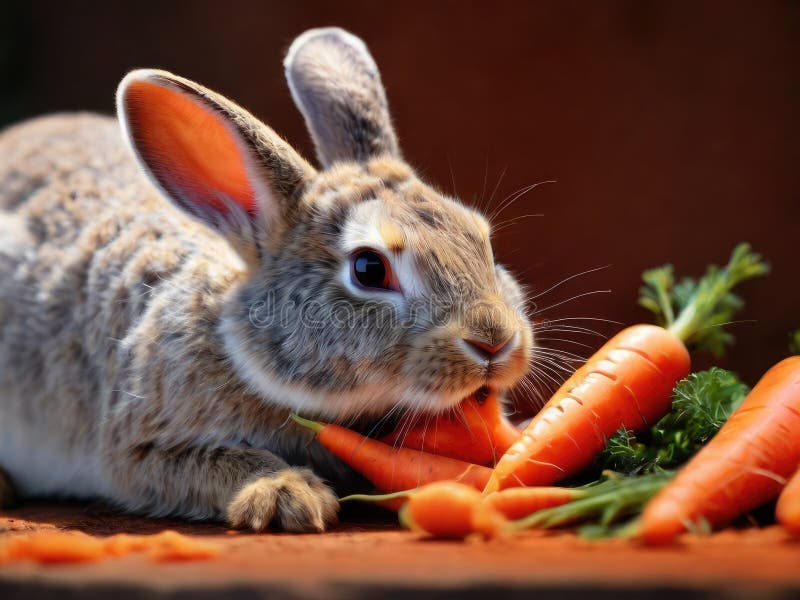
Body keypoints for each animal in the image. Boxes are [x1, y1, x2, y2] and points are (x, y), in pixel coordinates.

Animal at [0, 27, 533, 532]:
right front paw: (288, 496)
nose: (494, 340)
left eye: (482, 239)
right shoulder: (137, 448)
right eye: (368, 269)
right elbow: (211, 461)